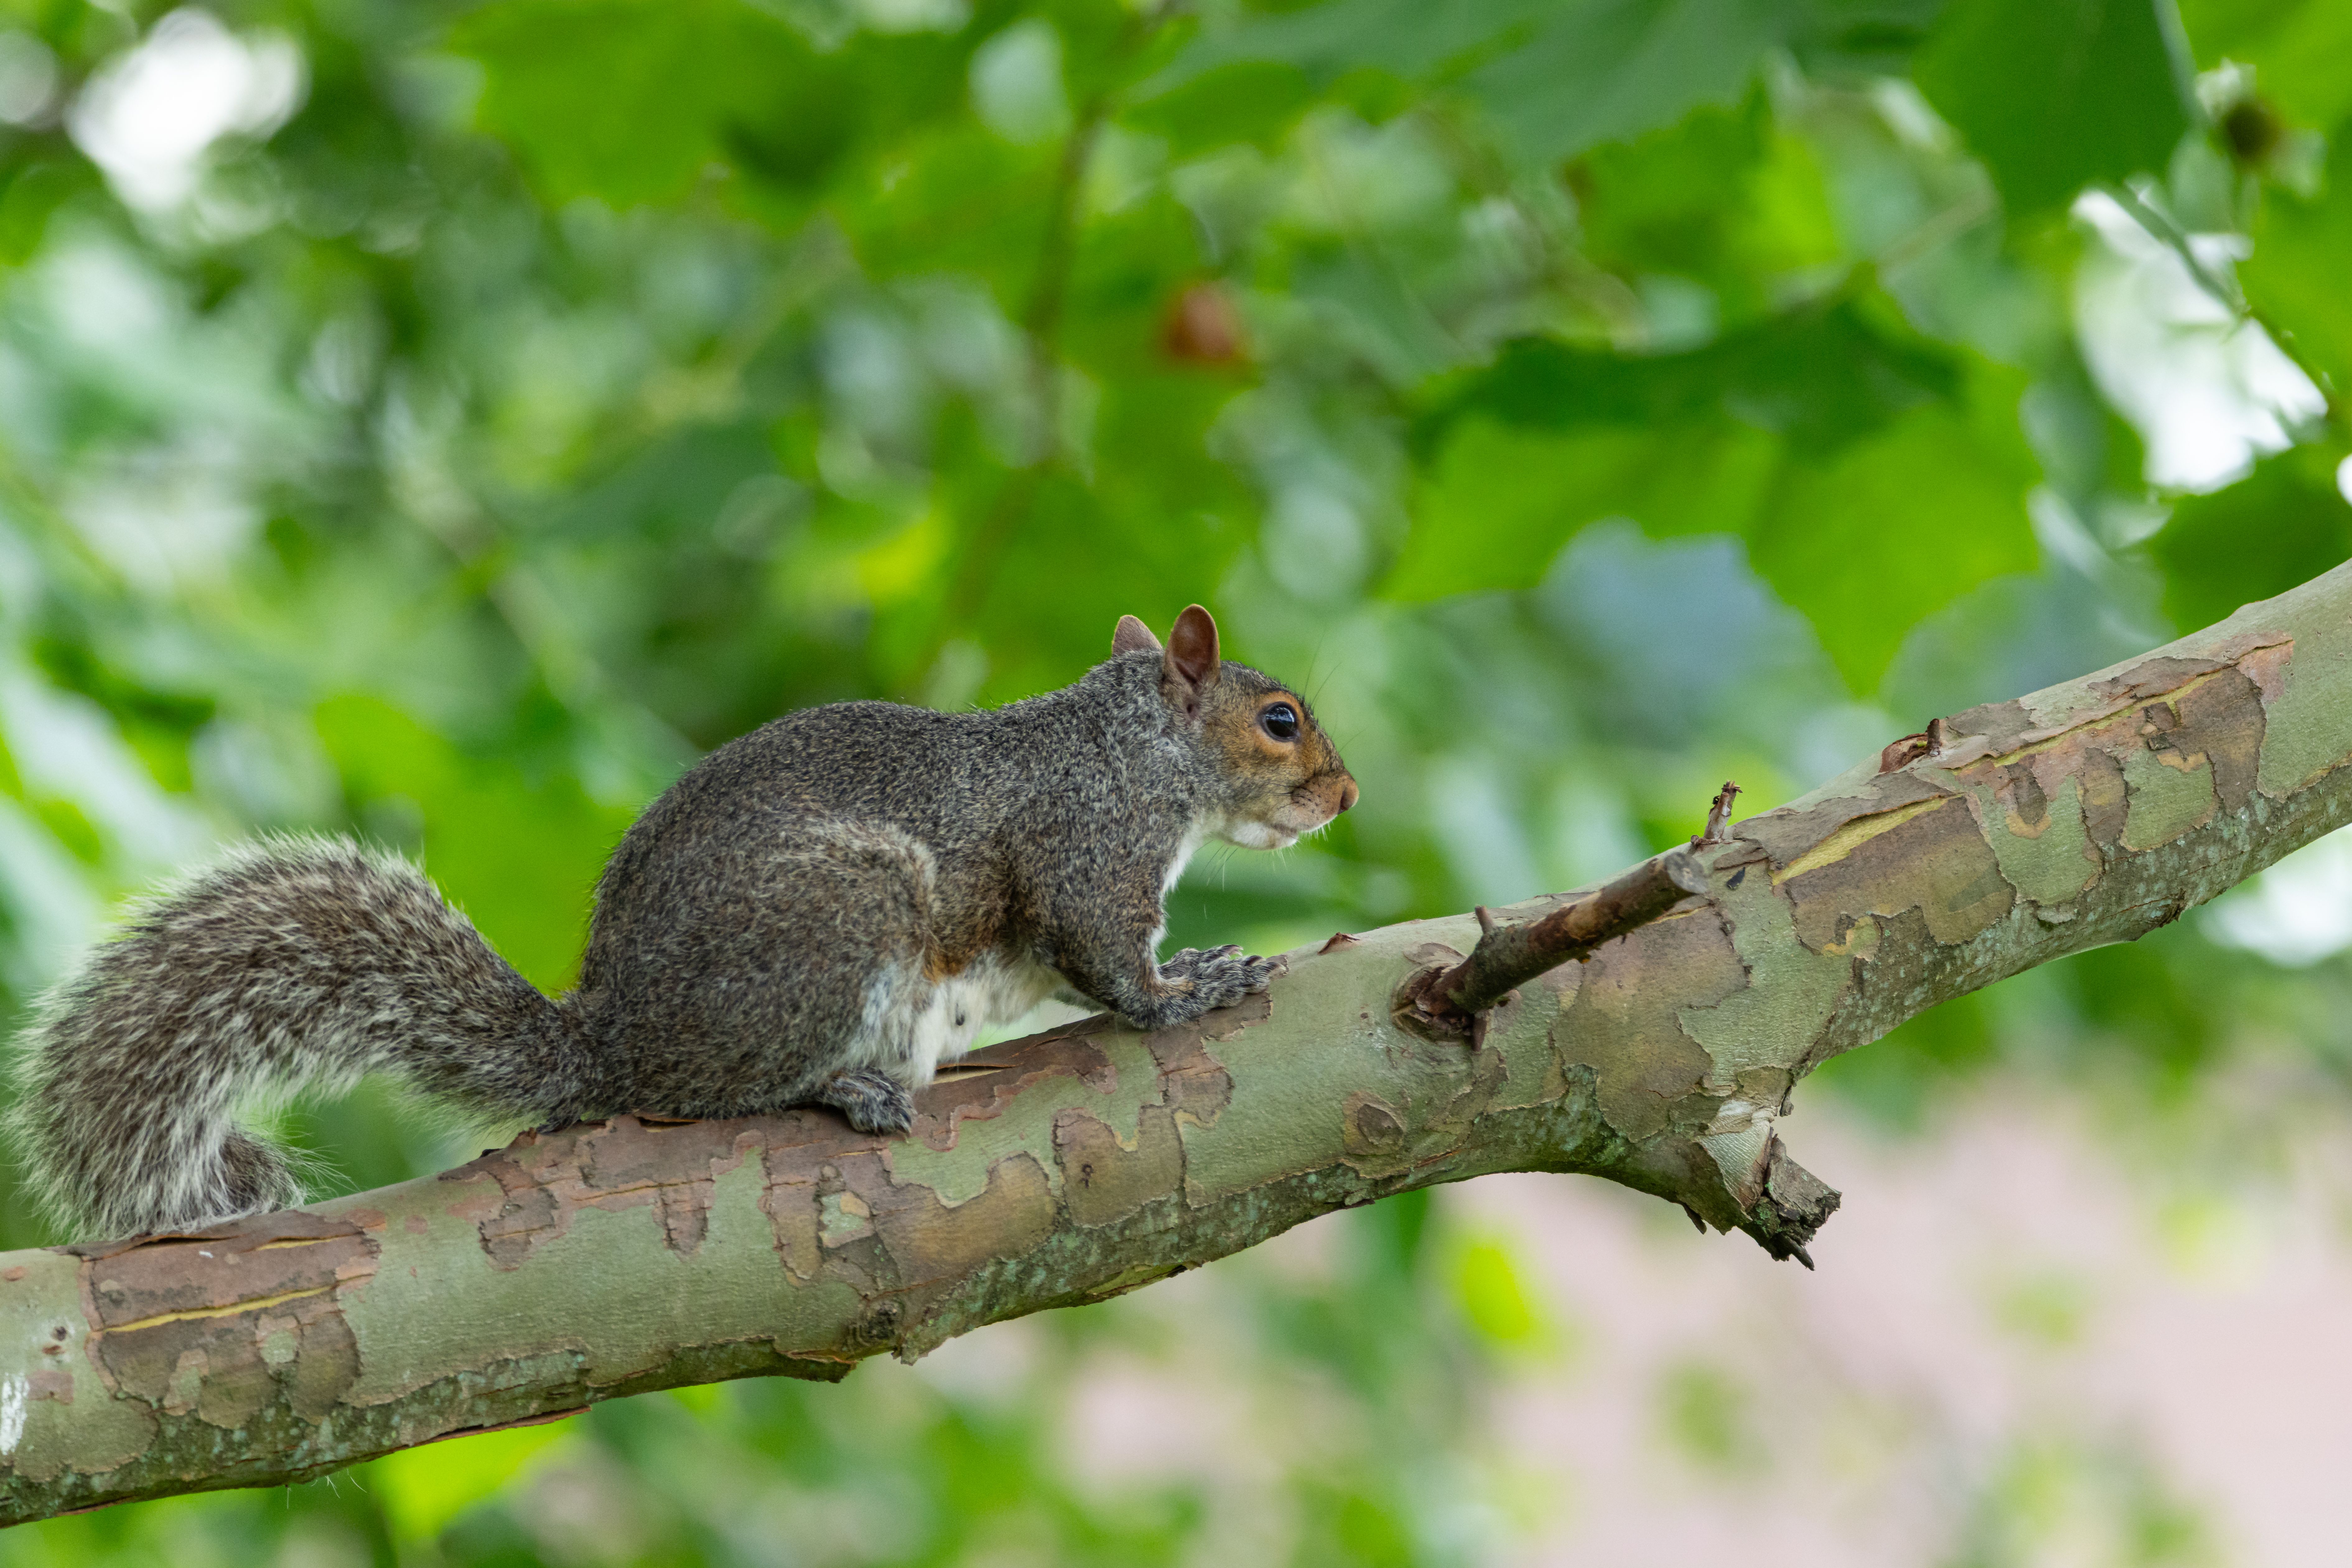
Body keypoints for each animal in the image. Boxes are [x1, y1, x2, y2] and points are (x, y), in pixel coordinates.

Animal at [7, 606, 1357, 1241]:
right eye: (1281, 720)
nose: (1347, 797)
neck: (1134, 752)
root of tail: (612, 1042)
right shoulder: (1088, 854)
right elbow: (1108, 965)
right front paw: (1195, 988)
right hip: (847, 915)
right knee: (715, 1094)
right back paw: (841, 1090)